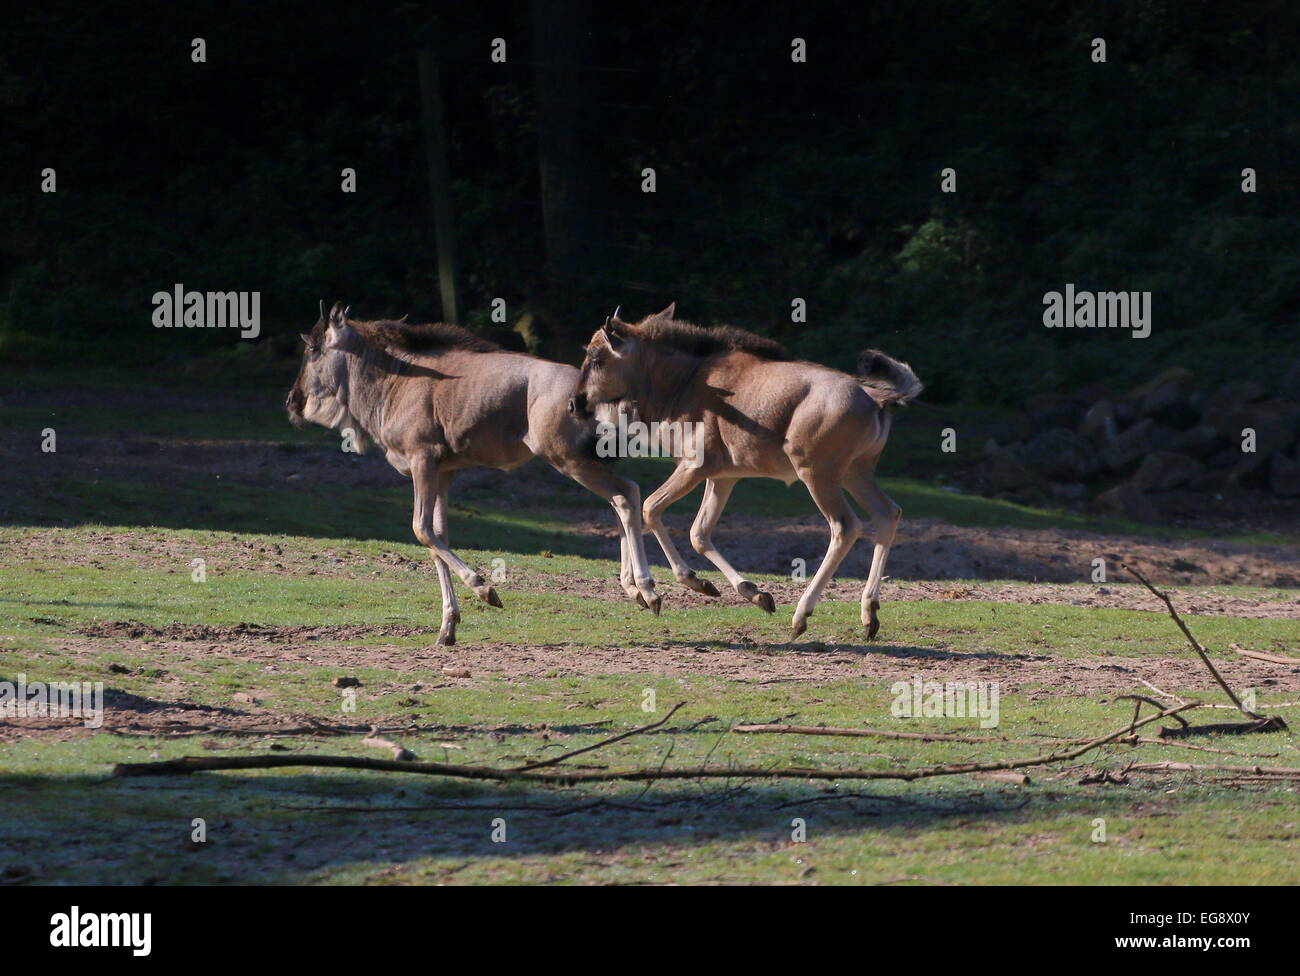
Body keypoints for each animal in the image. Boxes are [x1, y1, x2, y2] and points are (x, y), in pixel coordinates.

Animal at [286, 302, 661, 645]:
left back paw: (647, 590)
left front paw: (485, 589)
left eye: (312, 348)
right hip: (587, 460)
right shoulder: (443, 472)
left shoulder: (423, 460)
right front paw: (447, 627)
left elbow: (421, 529)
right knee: (626, 493)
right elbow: (437, 536)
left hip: (568, 459)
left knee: (622, 496)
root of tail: (591, 392)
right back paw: (634, 589)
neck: (394, 380)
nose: (293, 400)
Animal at [570, 305, 921, 641]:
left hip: (818, 476)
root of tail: (875, 399)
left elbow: (650, 508)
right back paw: (869, 614)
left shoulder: (693, 467)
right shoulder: (723, 477)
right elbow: (699, 533)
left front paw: (673, 586)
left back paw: (802, 615)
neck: (688, 381)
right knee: (887, 513)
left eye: (596, 358)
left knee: (845, 527)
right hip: (855, 475)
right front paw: (751, 592)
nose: (575, 403)